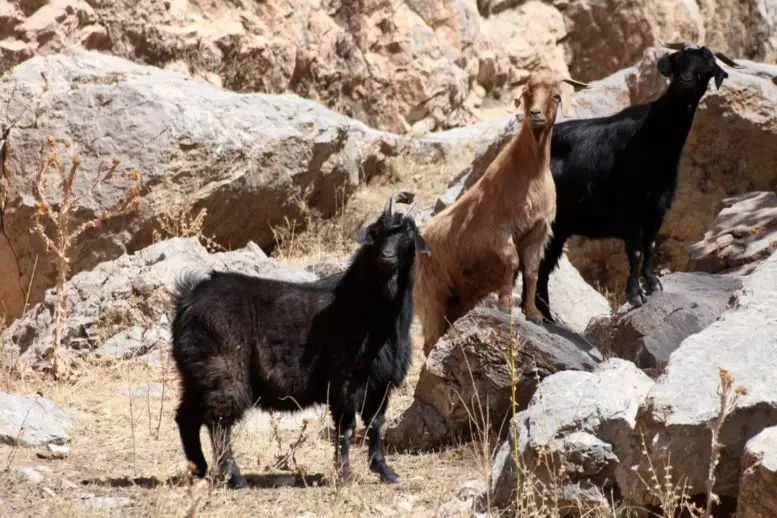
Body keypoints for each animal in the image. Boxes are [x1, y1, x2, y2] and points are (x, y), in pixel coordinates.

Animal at [169, 195, 430, 492]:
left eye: (408, 236)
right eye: (376, 233)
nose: (387, 258)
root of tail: (188, 298)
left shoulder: (380, 384)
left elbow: (376, 426)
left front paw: (387, 472)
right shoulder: (346, 381)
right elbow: (347, 428)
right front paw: (345, 475)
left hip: (195, 374)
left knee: (186, 417)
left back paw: (199, 468)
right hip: (224, 371)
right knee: (218, 422)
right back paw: (236, 478)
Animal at [416, 71, 584, 358]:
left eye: (556, 96)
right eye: (527, 93)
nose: (535, 114)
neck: (530, 174)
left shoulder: (537, 233)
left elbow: (531, 270)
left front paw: (533, 313)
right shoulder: (499, 231)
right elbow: (512, 262)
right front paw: (506, 305)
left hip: (457, 300)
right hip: (432, 295)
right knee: (429, 340)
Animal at [532, 41, 740, 324]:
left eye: (708, 68)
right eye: (681, 61)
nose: (685, 81)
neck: (653, 140)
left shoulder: (657, 210)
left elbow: (649, 247)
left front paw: (653, 284)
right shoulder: (631, 210)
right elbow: (636, 251)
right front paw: (635, 294)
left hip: (560, 226)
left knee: (543, 266)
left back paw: (546, 315)